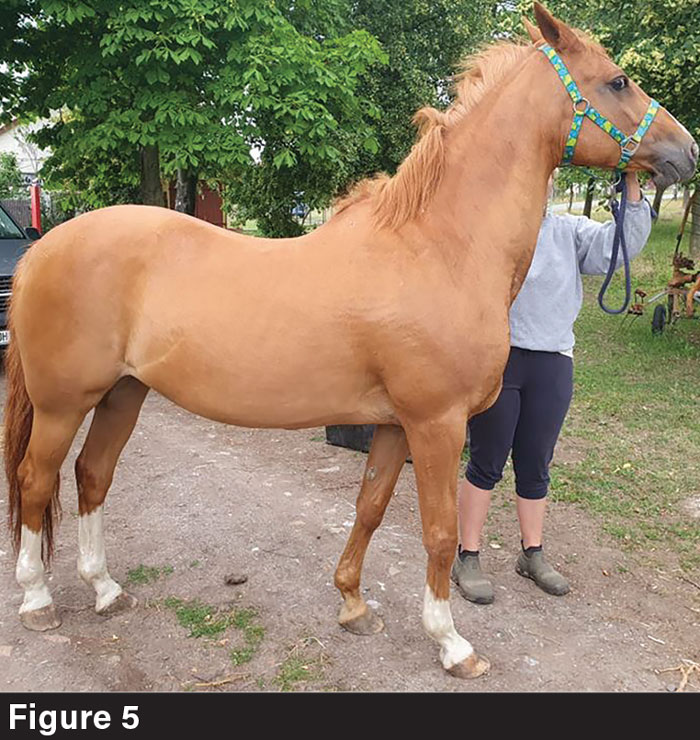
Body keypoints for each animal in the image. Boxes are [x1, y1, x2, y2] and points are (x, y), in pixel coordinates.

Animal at [3, 3, 697, 679]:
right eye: (618, 81)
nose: (685, 152)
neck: (439, 248)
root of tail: (42, 248)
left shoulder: (393, 425)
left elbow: (369, 508)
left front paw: (354, 605)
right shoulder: (437, 424)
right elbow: (439, 532)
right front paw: (451, 644)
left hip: (124, 393)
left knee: (92, 475)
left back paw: (105, 590)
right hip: (65, 403)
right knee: (37, 480)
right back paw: (37, 599)